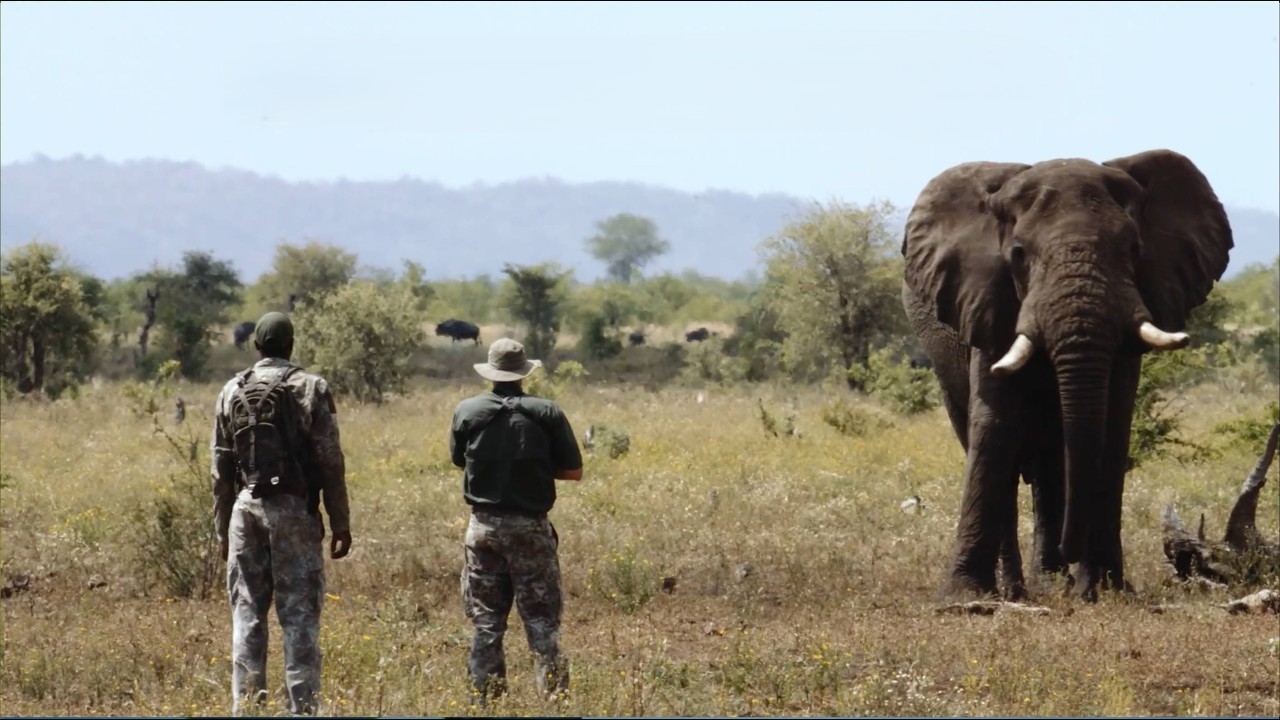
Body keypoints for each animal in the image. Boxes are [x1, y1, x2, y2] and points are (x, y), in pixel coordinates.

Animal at [900, 149, 1233, 602]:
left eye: (1134, 248)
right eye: (1018, 253)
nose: (1071, 555)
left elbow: (1110, 428)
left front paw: (1106, 590)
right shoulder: (988, 301)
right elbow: (995, 426)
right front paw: (963, 599)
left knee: (1051, 465)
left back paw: (1047, 581)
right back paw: (1017, 590)